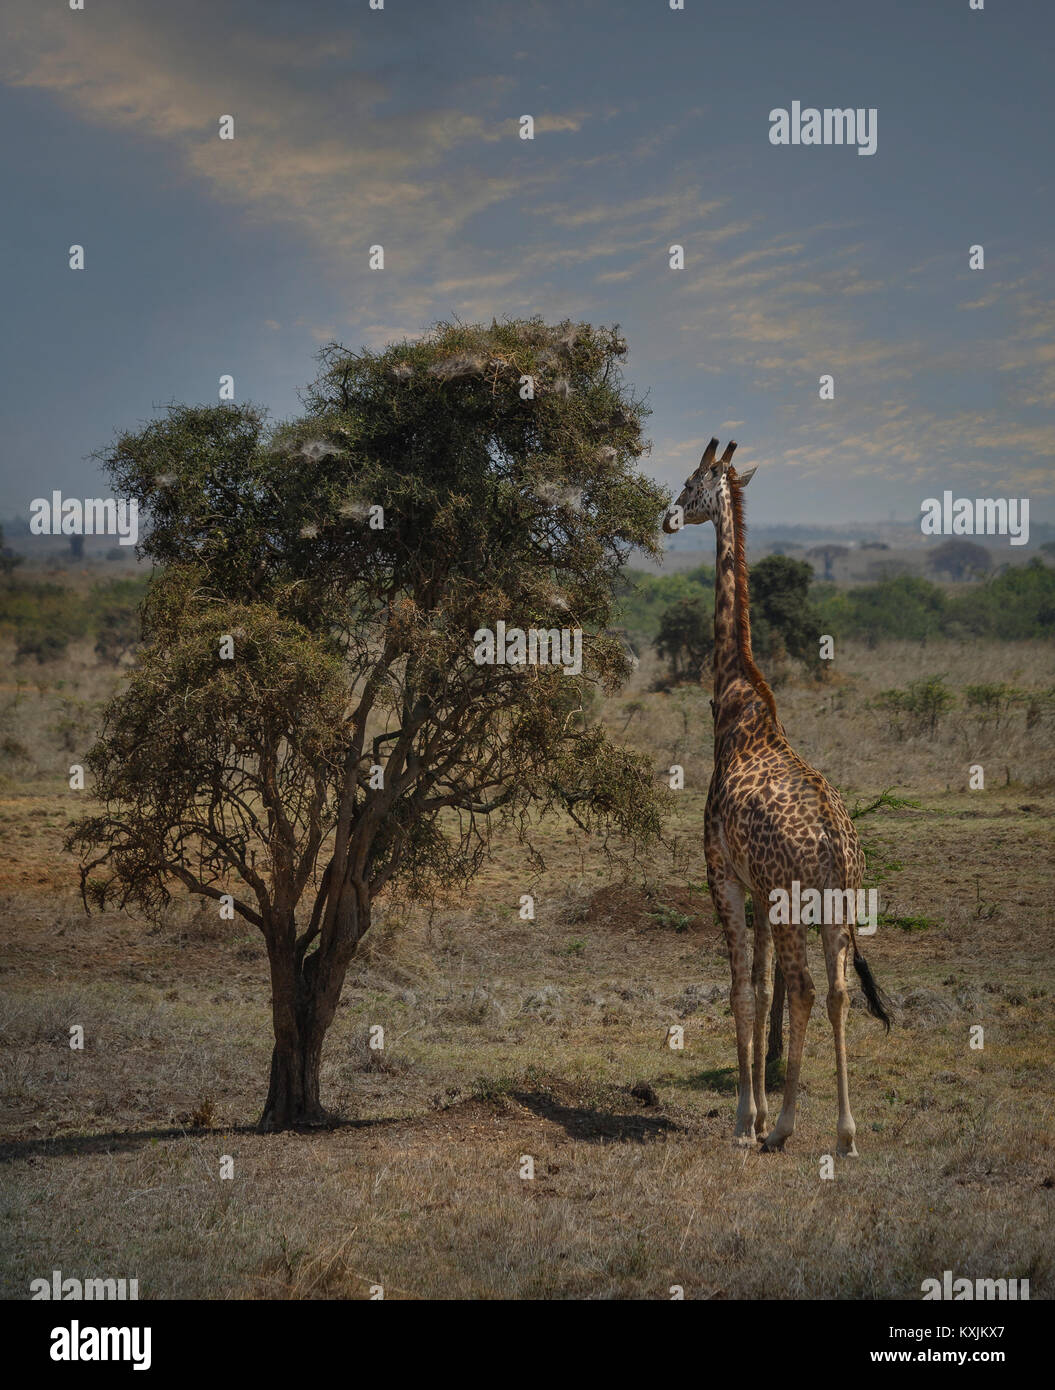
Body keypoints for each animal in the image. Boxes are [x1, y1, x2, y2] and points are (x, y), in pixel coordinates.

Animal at [663, 438, 890, 1155]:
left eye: (689, 483)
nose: (665, 519)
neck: (737, 700)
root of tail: (837, 847)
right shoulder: (760, 890)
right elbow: (761, 994)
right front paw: (756, 1111)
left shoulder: (723, 875)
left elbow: (742, 990)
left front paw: (747, 1121)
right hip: (839, 906)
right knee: (839, 991)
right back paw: (843, 1133)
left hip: (799, 903)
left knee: (808, 989)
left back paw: (788, 1128)